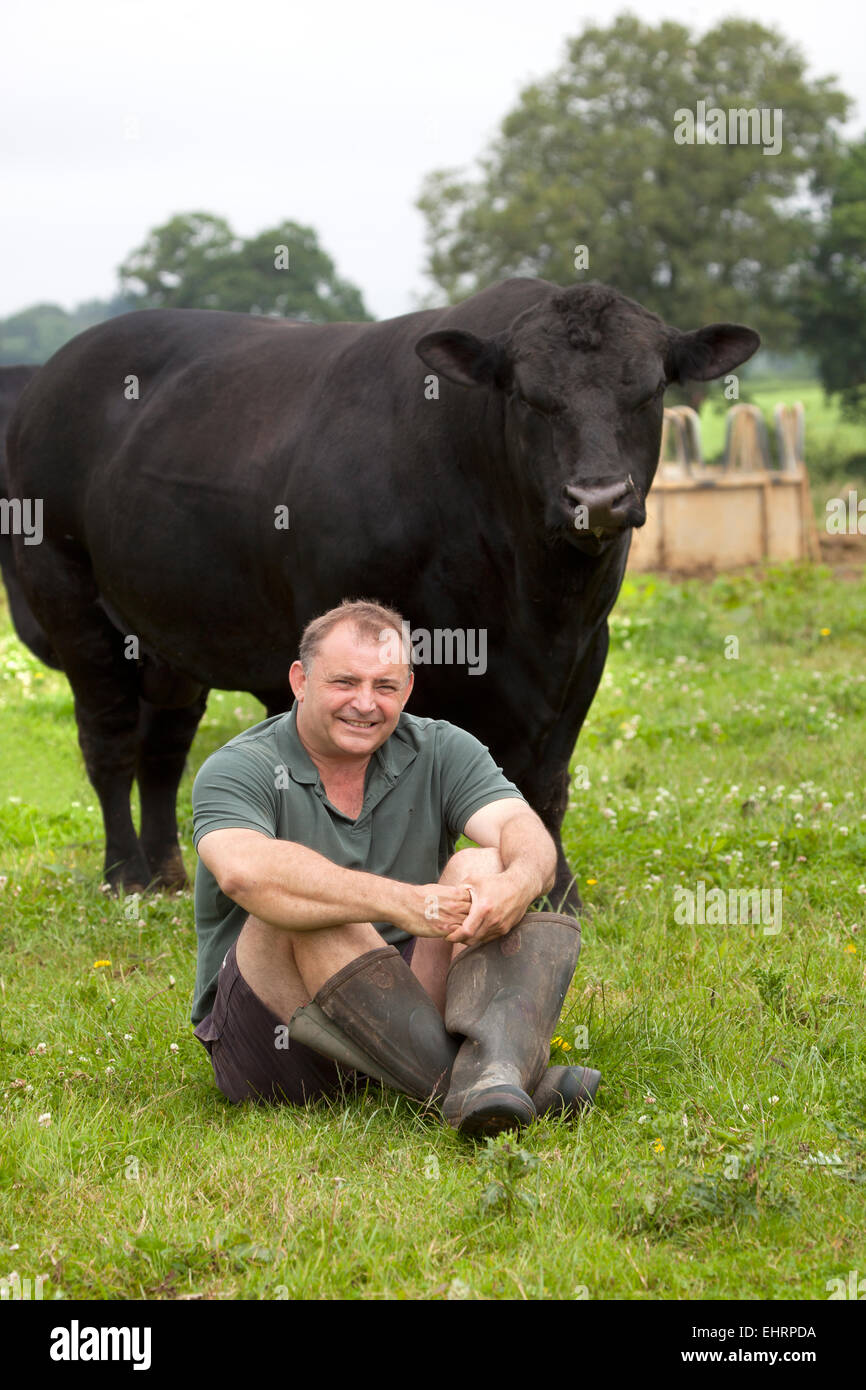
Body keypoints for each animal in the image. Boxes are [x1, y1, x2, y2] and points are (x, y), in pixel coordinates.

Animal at [6, 278, 759, 904]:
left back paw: (167, 871)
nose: (597, 498)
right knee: (109, 743)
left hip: (169, 636)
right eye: (527, 397)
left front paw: (557, 892)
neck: (532, 597)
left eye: (651, 392)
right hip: (69, 600)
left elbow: (543, 782)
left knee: (164, 749)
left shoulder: (584, 650)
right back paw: (125, 875)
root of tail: (56, 371)